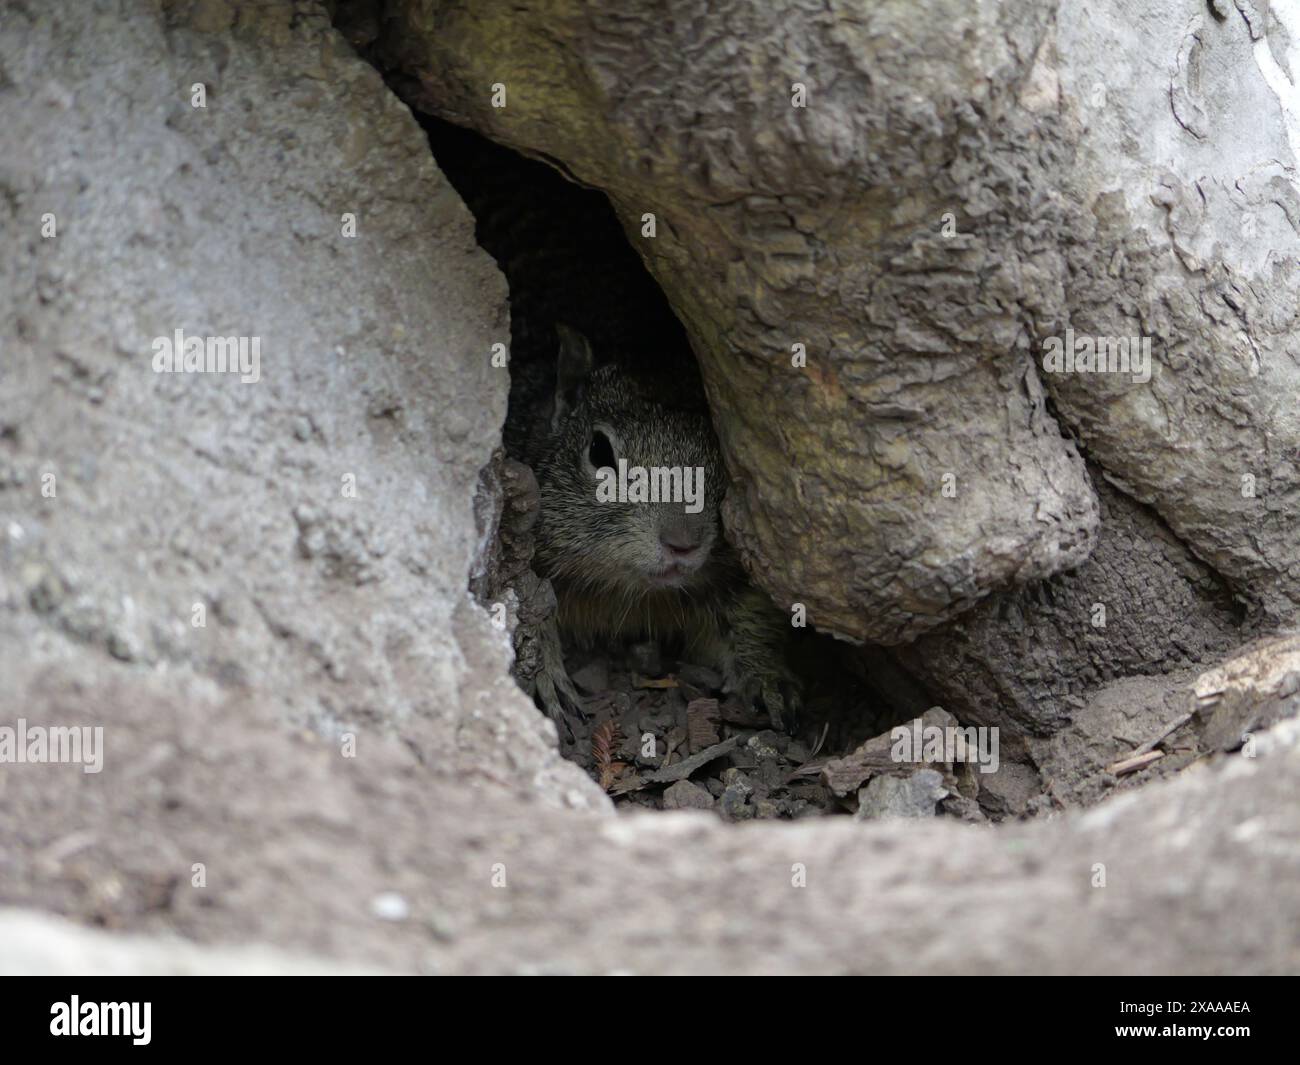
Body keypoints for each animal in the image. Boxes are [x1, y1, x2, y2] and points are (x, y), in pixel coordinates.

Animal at [510, 324, 801, 732]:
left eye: (727, 457)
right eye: (599, 450)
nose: (683, 543)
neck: (627, 591)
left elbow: (752, 616)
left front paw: (767, 675)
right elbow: (527, 608)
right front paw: (545, 675)